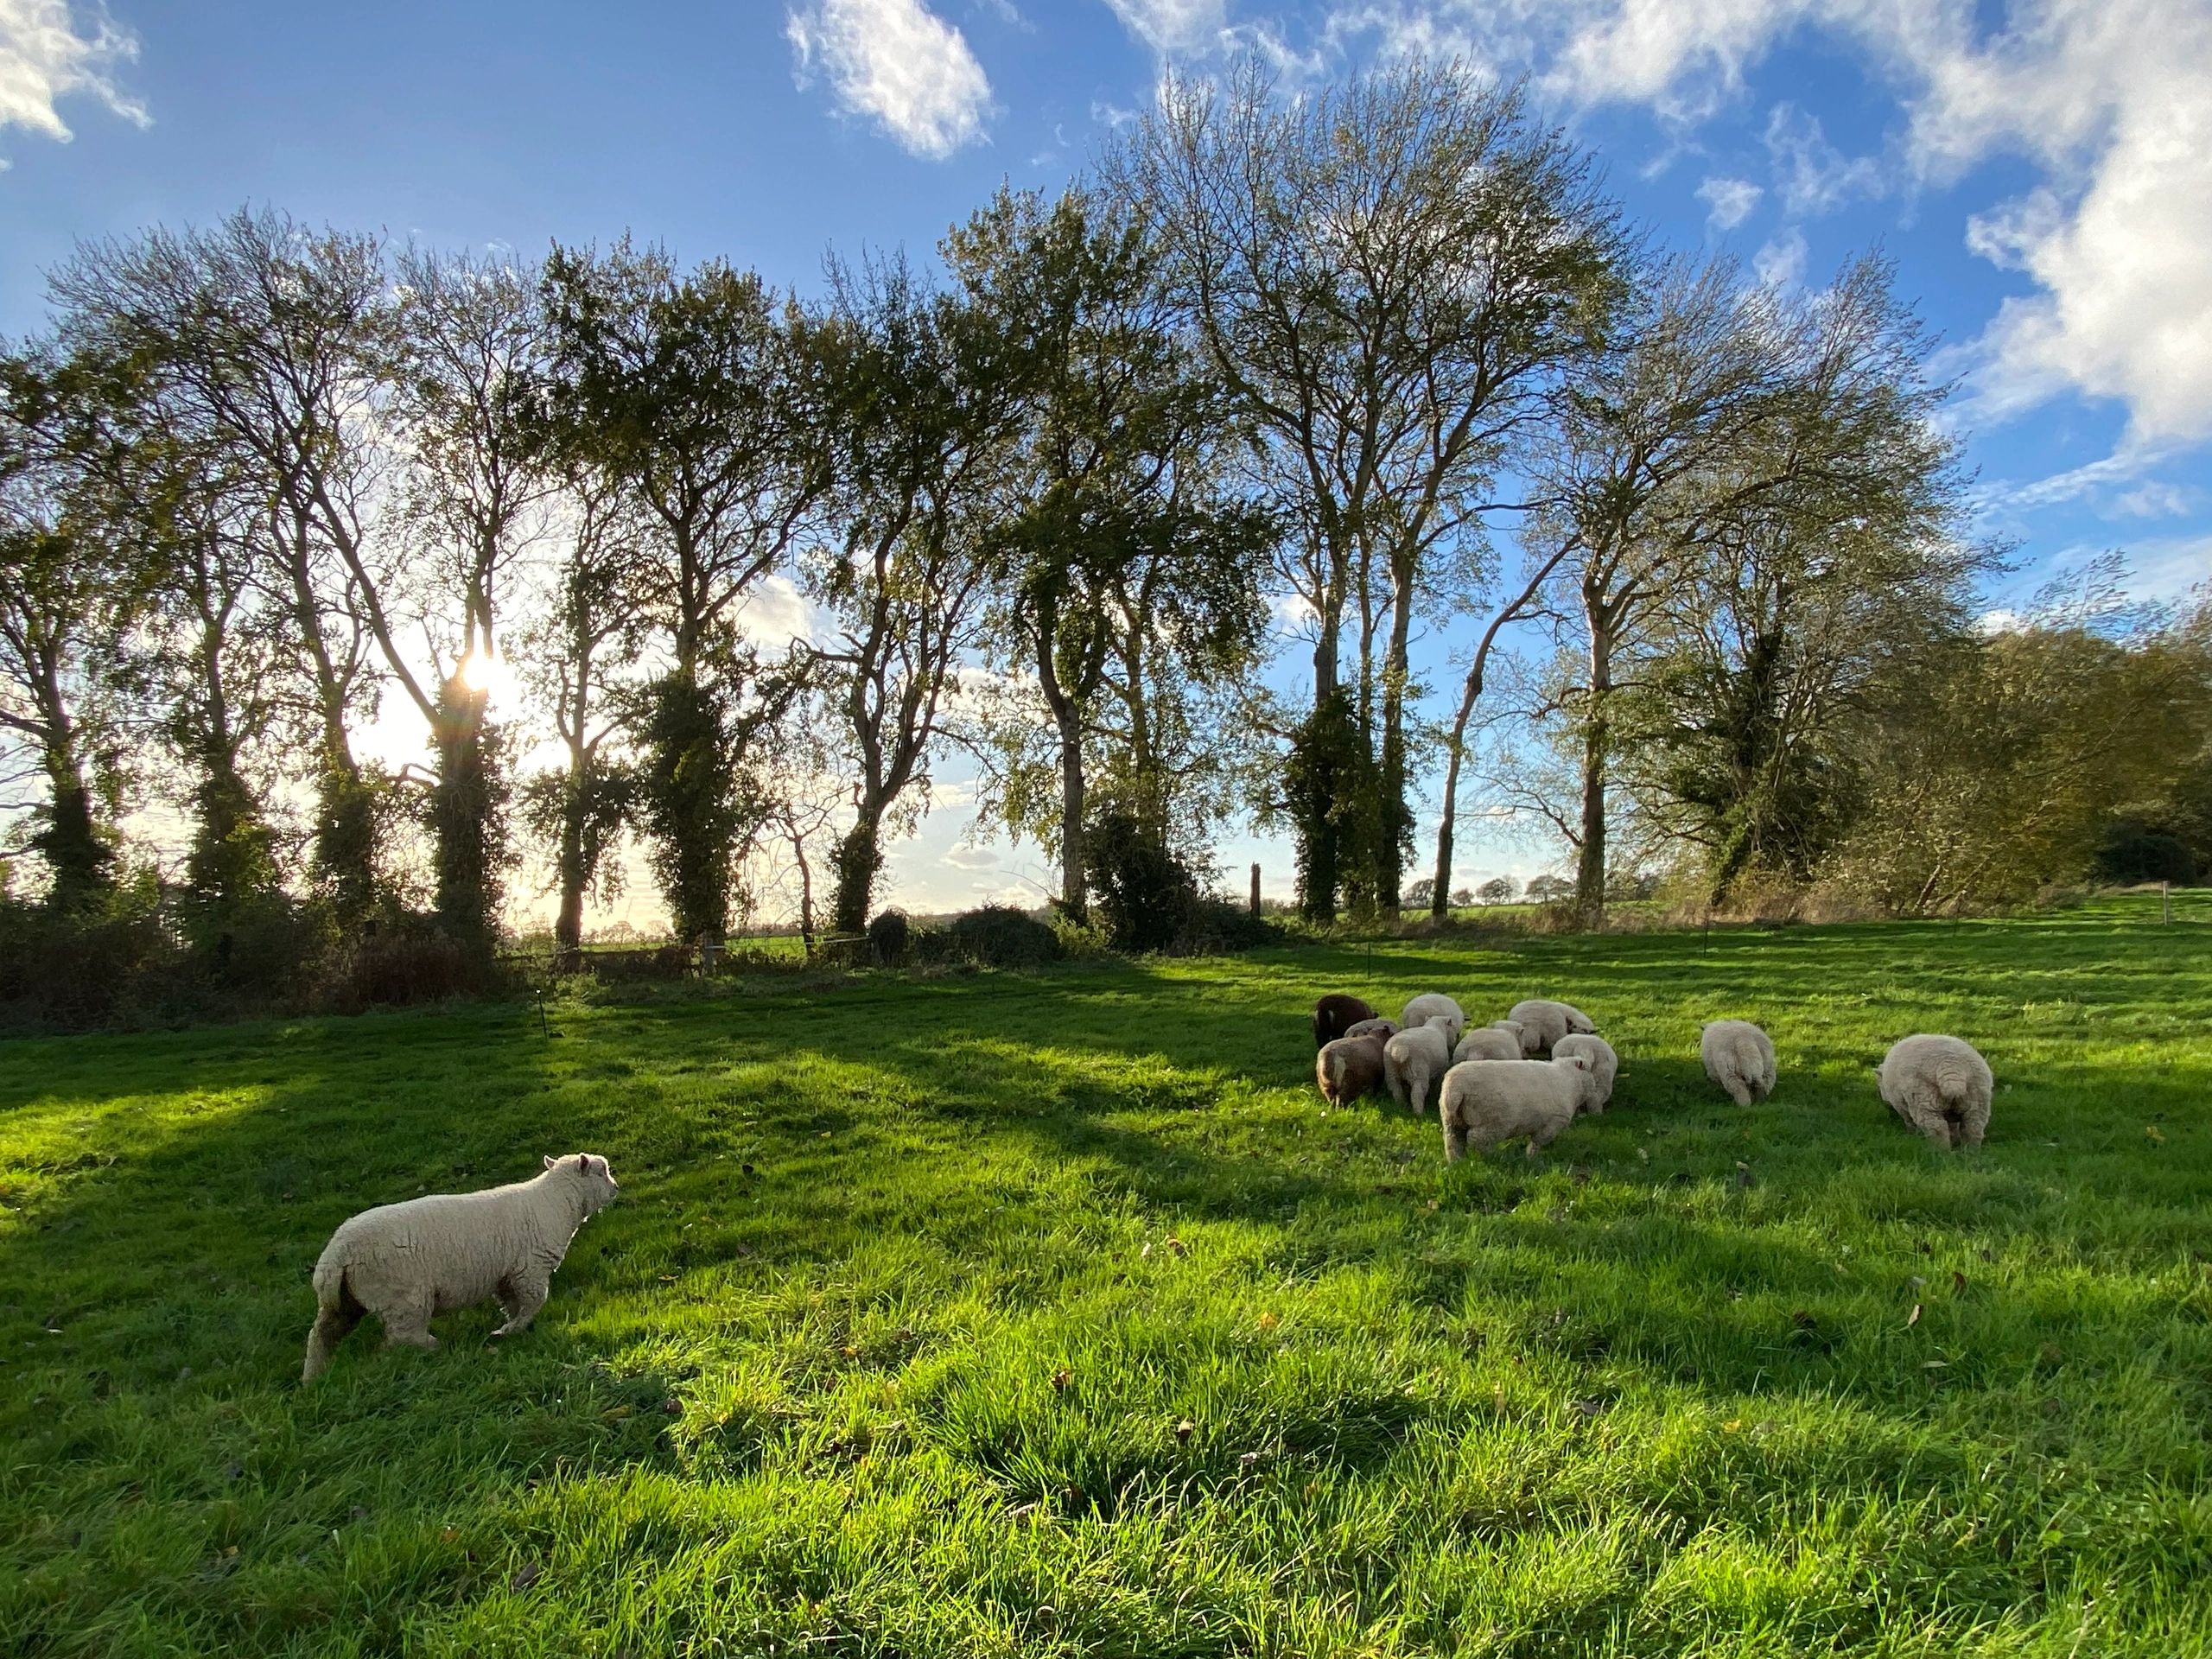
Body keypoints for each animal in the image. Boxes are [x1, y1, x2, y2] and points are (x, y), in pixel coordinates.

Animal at [303, 1154, 620, 1382]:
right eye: (602, 1172)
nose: (617, 1188)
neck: (556, 1203)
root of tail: (336, 1253)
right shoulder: (530, 1269)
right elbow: (534, 1302)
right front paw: (511, 1329)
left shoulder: (507, 1275)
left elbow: (513, 1303)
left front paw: (513, 1328)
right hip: (402, 1297)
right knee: (401, 1336)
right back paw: (433, 1348)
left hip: (345, 1299)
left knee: (322, 1334)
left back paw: (314, 1378)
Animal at [1438, 1054, 1600, 1161]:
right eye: (1589, 1070)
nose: (1595, 1085)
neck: (1570, 1081)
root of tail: (1455, 1087)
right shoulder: (1554, 1121)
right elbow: (1538, 1141)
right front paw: (1531, 1157)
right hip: (1493, 1121)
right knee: (1477, 1139)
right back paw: (1493, 1156)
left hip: (1451, 1120)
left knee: (1453, 1141)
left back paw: (1456, 1162)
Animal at [1878, 1034, 1994, 1149]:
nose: (1884, 1101)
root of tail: (1950, 1065)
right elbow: (1953, 1127)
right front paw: (1955, 1139)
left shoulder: (1900, 1105)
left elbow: (1909, 1120)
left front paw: (1912, 1134)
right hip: (1978, 1098)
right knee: (1973, 1127)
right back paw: (1970, 1151)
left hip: (1924, 1099)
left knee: (1936, 1128)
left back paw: (1940, 1150)